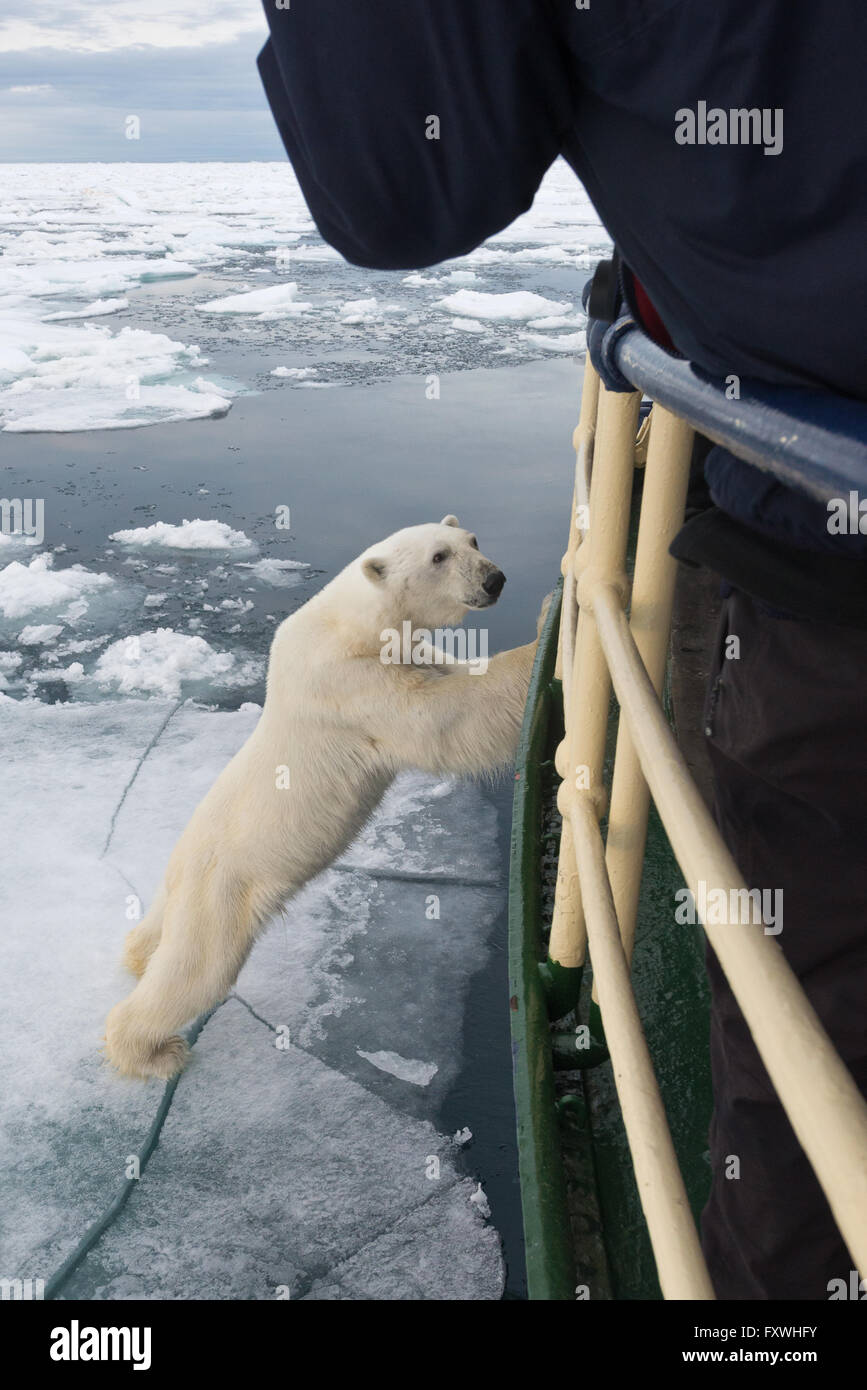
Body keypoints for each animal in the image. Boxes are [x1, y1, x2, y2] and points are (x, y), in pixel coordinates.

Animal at [104, 516, 544, 1080]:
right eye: (439, 557)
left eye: (472, 541)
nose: (495, 579)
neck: (346, 625)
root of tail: (182, 867)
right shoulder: (346, 683)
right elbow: (441, 719)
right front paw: (541, 631)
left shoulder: (400, 655)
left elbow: (453, 675)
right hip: (224, 893)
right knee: (197, 970)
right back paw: (153, 1053)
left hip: (185, 888)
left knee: (161, 935)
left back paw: (139, 957)